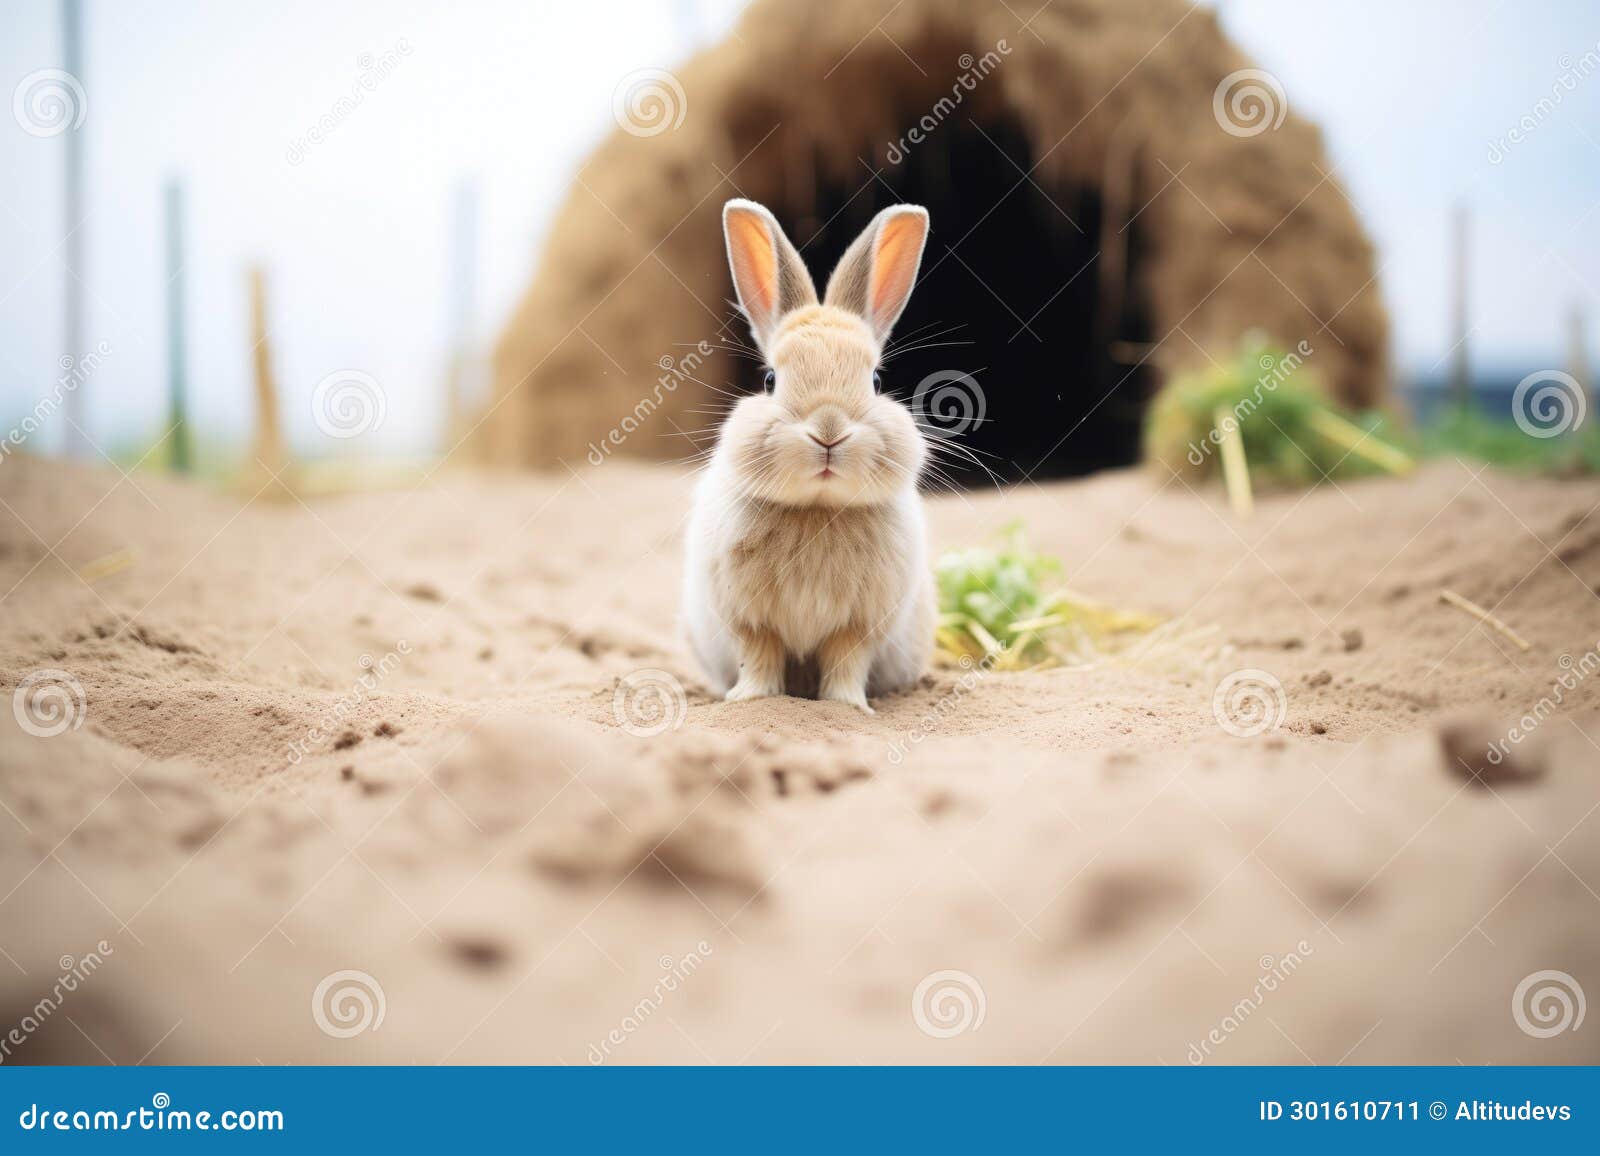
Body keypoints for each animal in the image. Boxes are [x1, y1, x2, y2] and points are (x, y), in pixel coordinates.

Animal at [682, 198, 936, 713]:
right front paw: (749, 700)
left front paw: (848, 708)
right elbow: (759, 658)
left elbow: (845, 663)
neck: (818, 509)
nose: (828, 432)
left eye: (876, 380)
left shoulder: (857, 627)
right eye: (769, 380)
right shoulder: (751, 621)